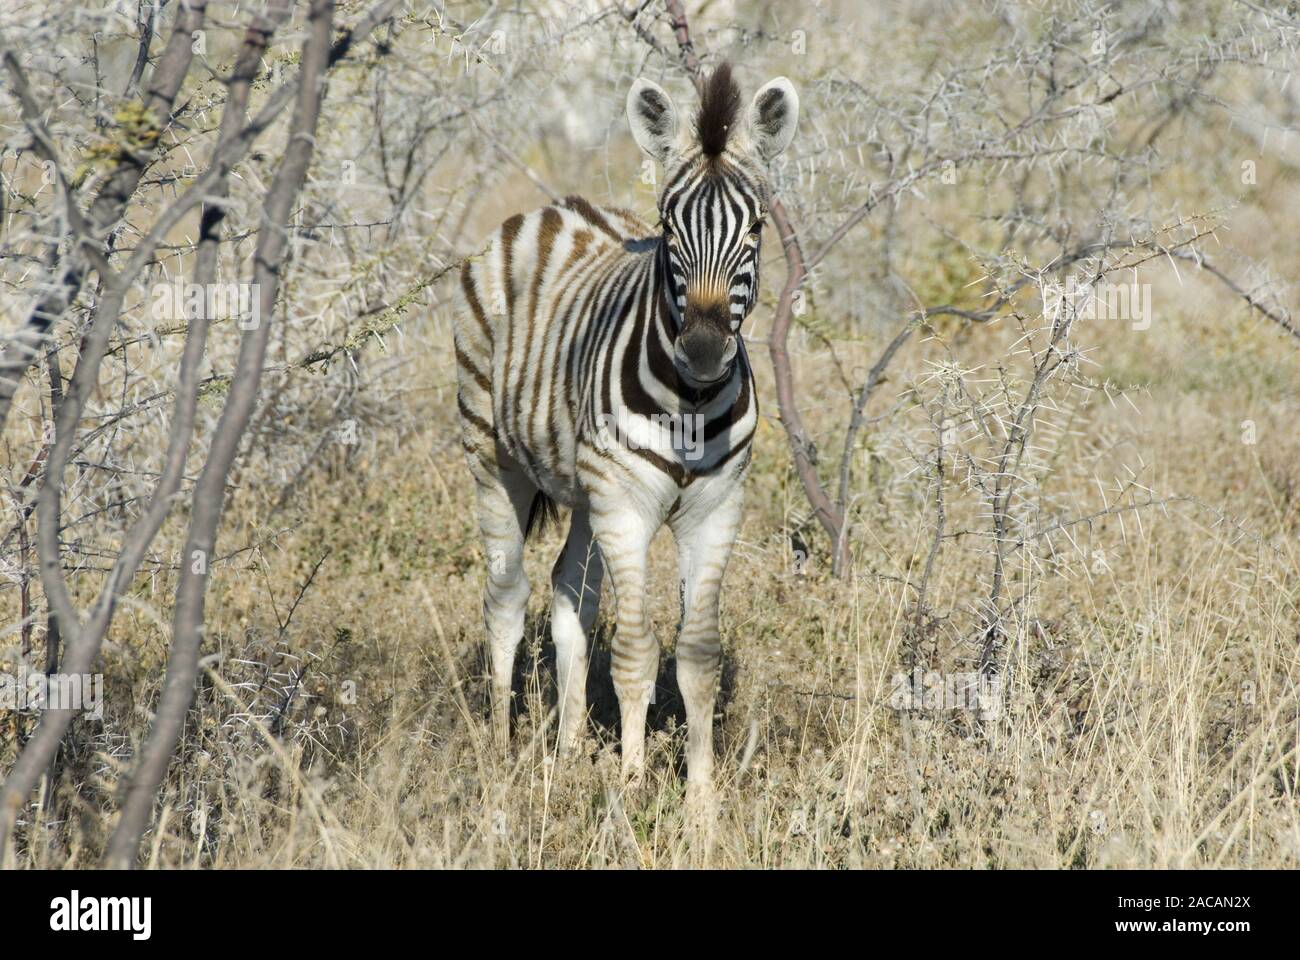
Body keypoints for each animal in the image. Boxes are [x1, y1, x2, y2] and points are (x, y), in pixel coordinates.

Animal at [452, 64, 799, 792]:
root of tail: (556, 209)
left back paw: (568, 752)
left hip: (587, 492)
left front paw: (700, 798)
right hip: (492, 456)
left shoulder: (717, 508)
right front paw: (633, 788)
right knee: (506, 598)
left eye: (756, 226)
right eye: (669, 225)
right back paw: (500, 749)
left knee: (570, 595)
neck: (691, 401)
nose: (703, 349)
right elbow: (636, 650)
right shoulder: (627, 504)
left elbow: (697, 655)